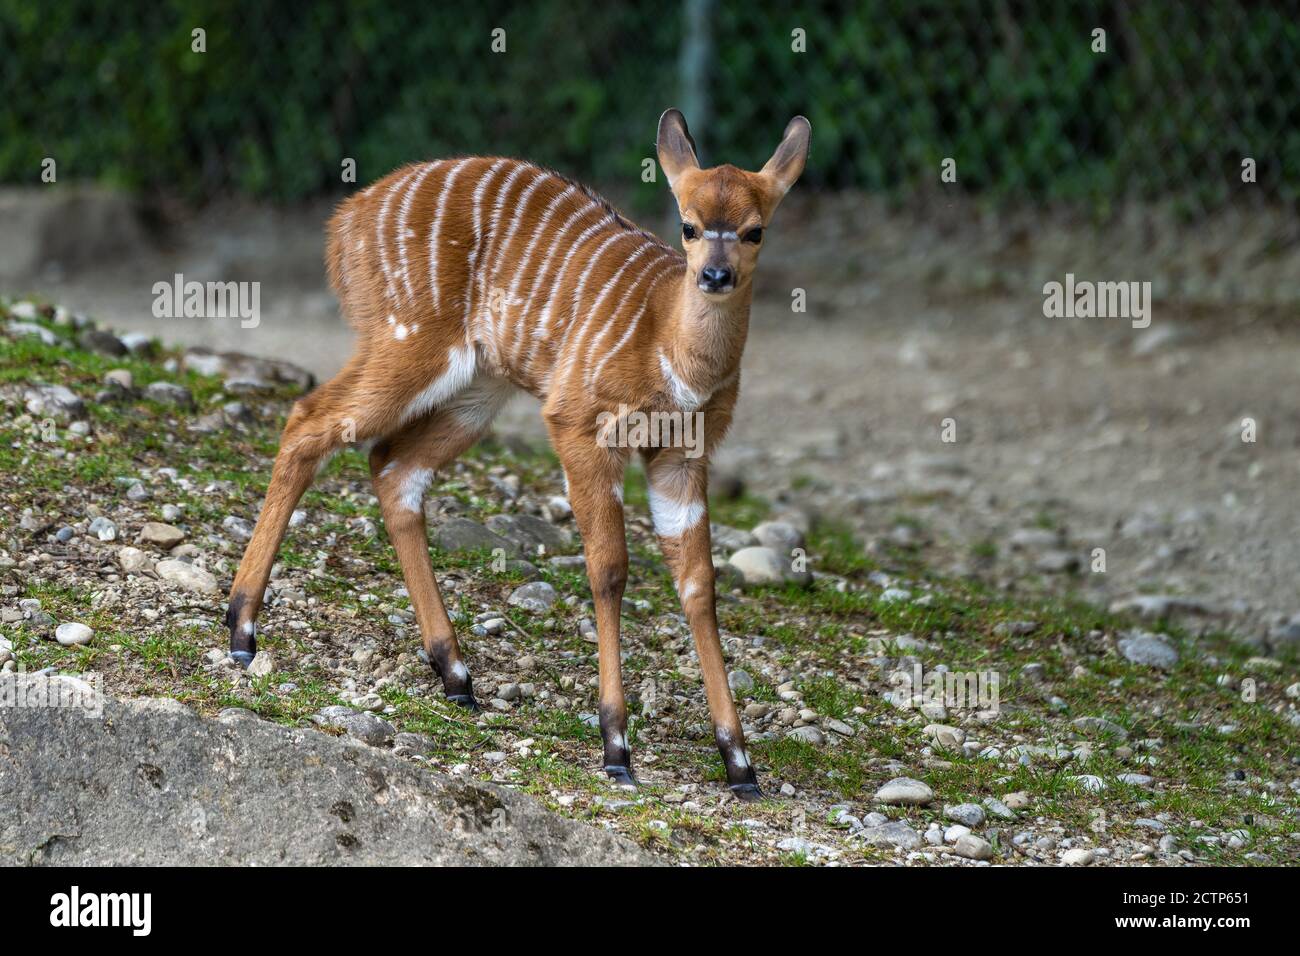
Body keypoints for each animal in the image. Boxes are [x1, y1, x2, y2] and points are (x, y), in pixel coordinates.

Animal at [226, 109, 810, 799]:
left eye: (754, 230)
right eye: (689, 226)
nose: (714, 276)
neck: (671, 349)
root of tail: (346, 219)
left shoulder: (681, 458)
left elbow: (699, 584)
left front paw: (739, 763)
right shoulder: (580, 427)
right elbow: (609, 570)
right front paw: (616, 747)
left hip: (479, 388)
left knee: (394, 467)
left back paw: (456, 673)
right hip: (409, 346)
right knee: (308, 422)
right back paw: (242, 629)